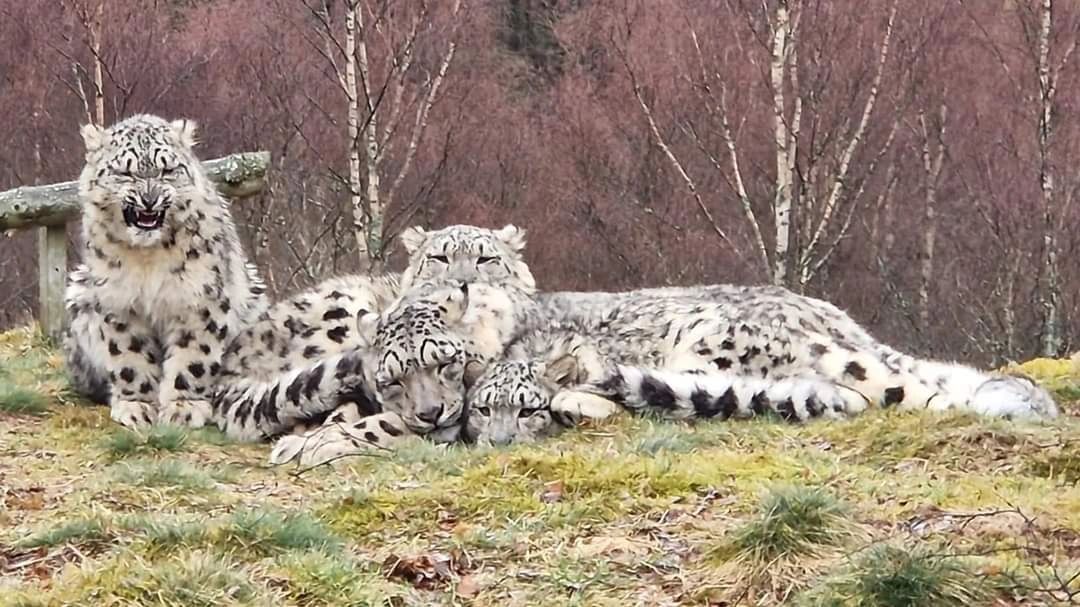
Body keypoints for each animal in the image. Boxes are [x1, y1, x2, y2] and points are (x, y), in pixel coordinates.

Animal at [63, 114, 268, 430]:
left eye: (167, 170)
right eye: (125, 172)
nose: (149, 199)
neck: (147, 258)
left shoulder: (199, 298)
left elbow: (194, 355)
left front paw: (183, 407)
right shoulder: (118, 301)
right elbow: (129, 355)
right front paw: (136, 405)